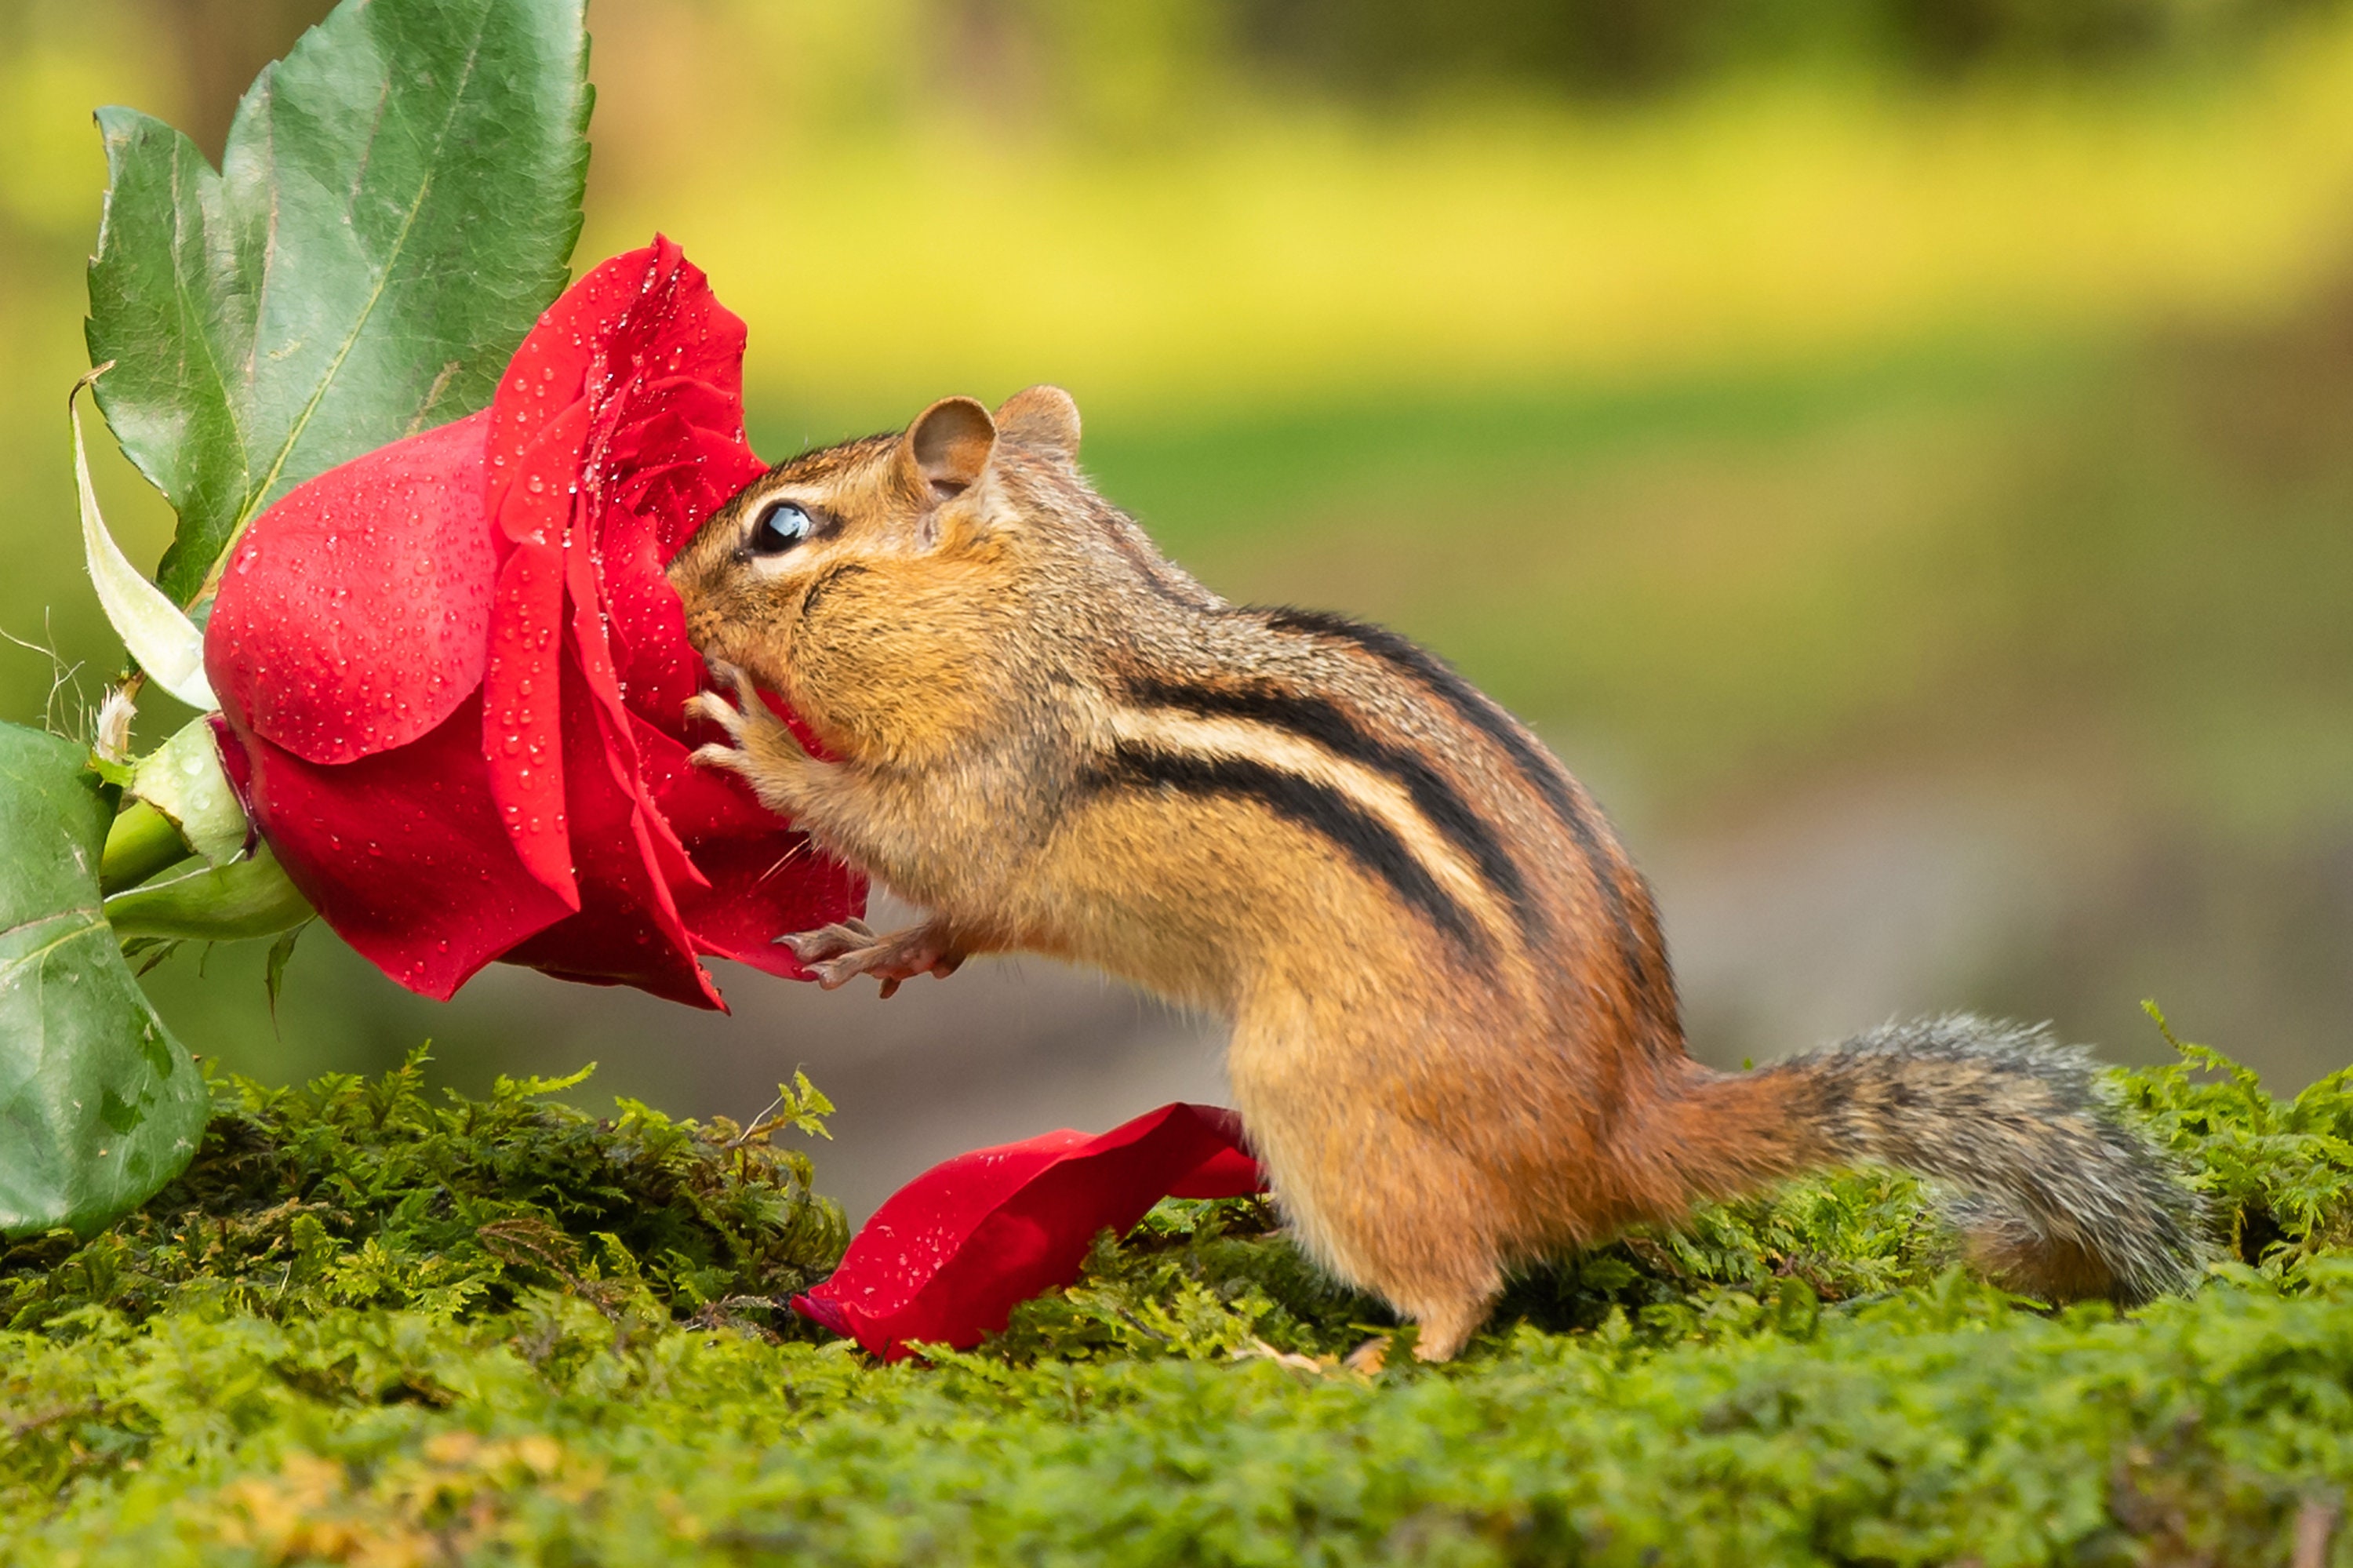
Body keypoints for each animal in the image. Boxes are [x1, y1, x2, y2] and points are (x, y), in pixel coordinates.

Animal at [666, 385, 2206, 1363]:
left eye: (783, 531)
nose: (668, 583)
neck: (1047, 612)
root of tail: (1627, 1122)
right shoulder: (1005, 863)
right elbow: (959, 916)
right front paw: (873, 952)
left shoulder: (997, 770)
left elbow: (903, 826)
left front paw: (752, 739)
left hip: (1316, 1097)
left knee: (1462, 1293)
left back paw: (1333, 1365)